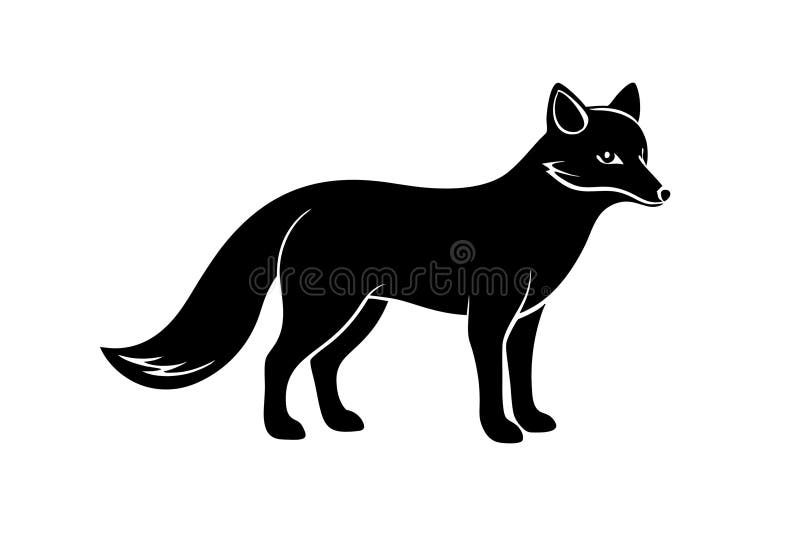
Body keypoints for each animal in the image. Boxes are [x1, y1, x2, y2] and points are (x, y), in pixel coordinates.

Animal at [102, 83, 669, 443]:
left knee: (322, 363)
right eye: (607, 158)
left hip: (362, 312)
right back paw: (282, 429)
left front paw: (531, 420)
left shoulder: (528, 318)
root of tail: (310, 198)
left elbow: (522, 376)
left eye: (643, 153)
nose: (664, 191)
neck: (538, 219)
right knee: (277, 360)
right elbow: (492, 381)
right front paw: (501, 431)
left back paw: (338, 421)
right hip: (326, 311)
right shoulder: (489, 318)